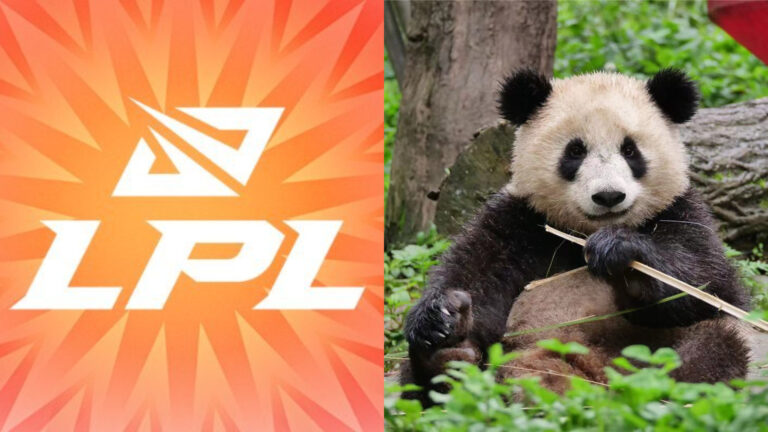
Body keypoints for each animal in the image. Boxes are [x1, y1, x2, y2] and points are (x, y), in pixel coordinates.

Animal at [400, 69, 751, 405]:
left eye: (630, 150)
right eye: (575, 150)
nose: (608, 196)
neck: (582, 235)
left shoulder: (682, 213)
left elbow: (707, 285)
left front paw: (618, 250)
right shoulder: (518, 225)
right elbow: (472, 276)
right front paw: (440, 318)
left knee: (714, 345)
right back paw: (448, 358)